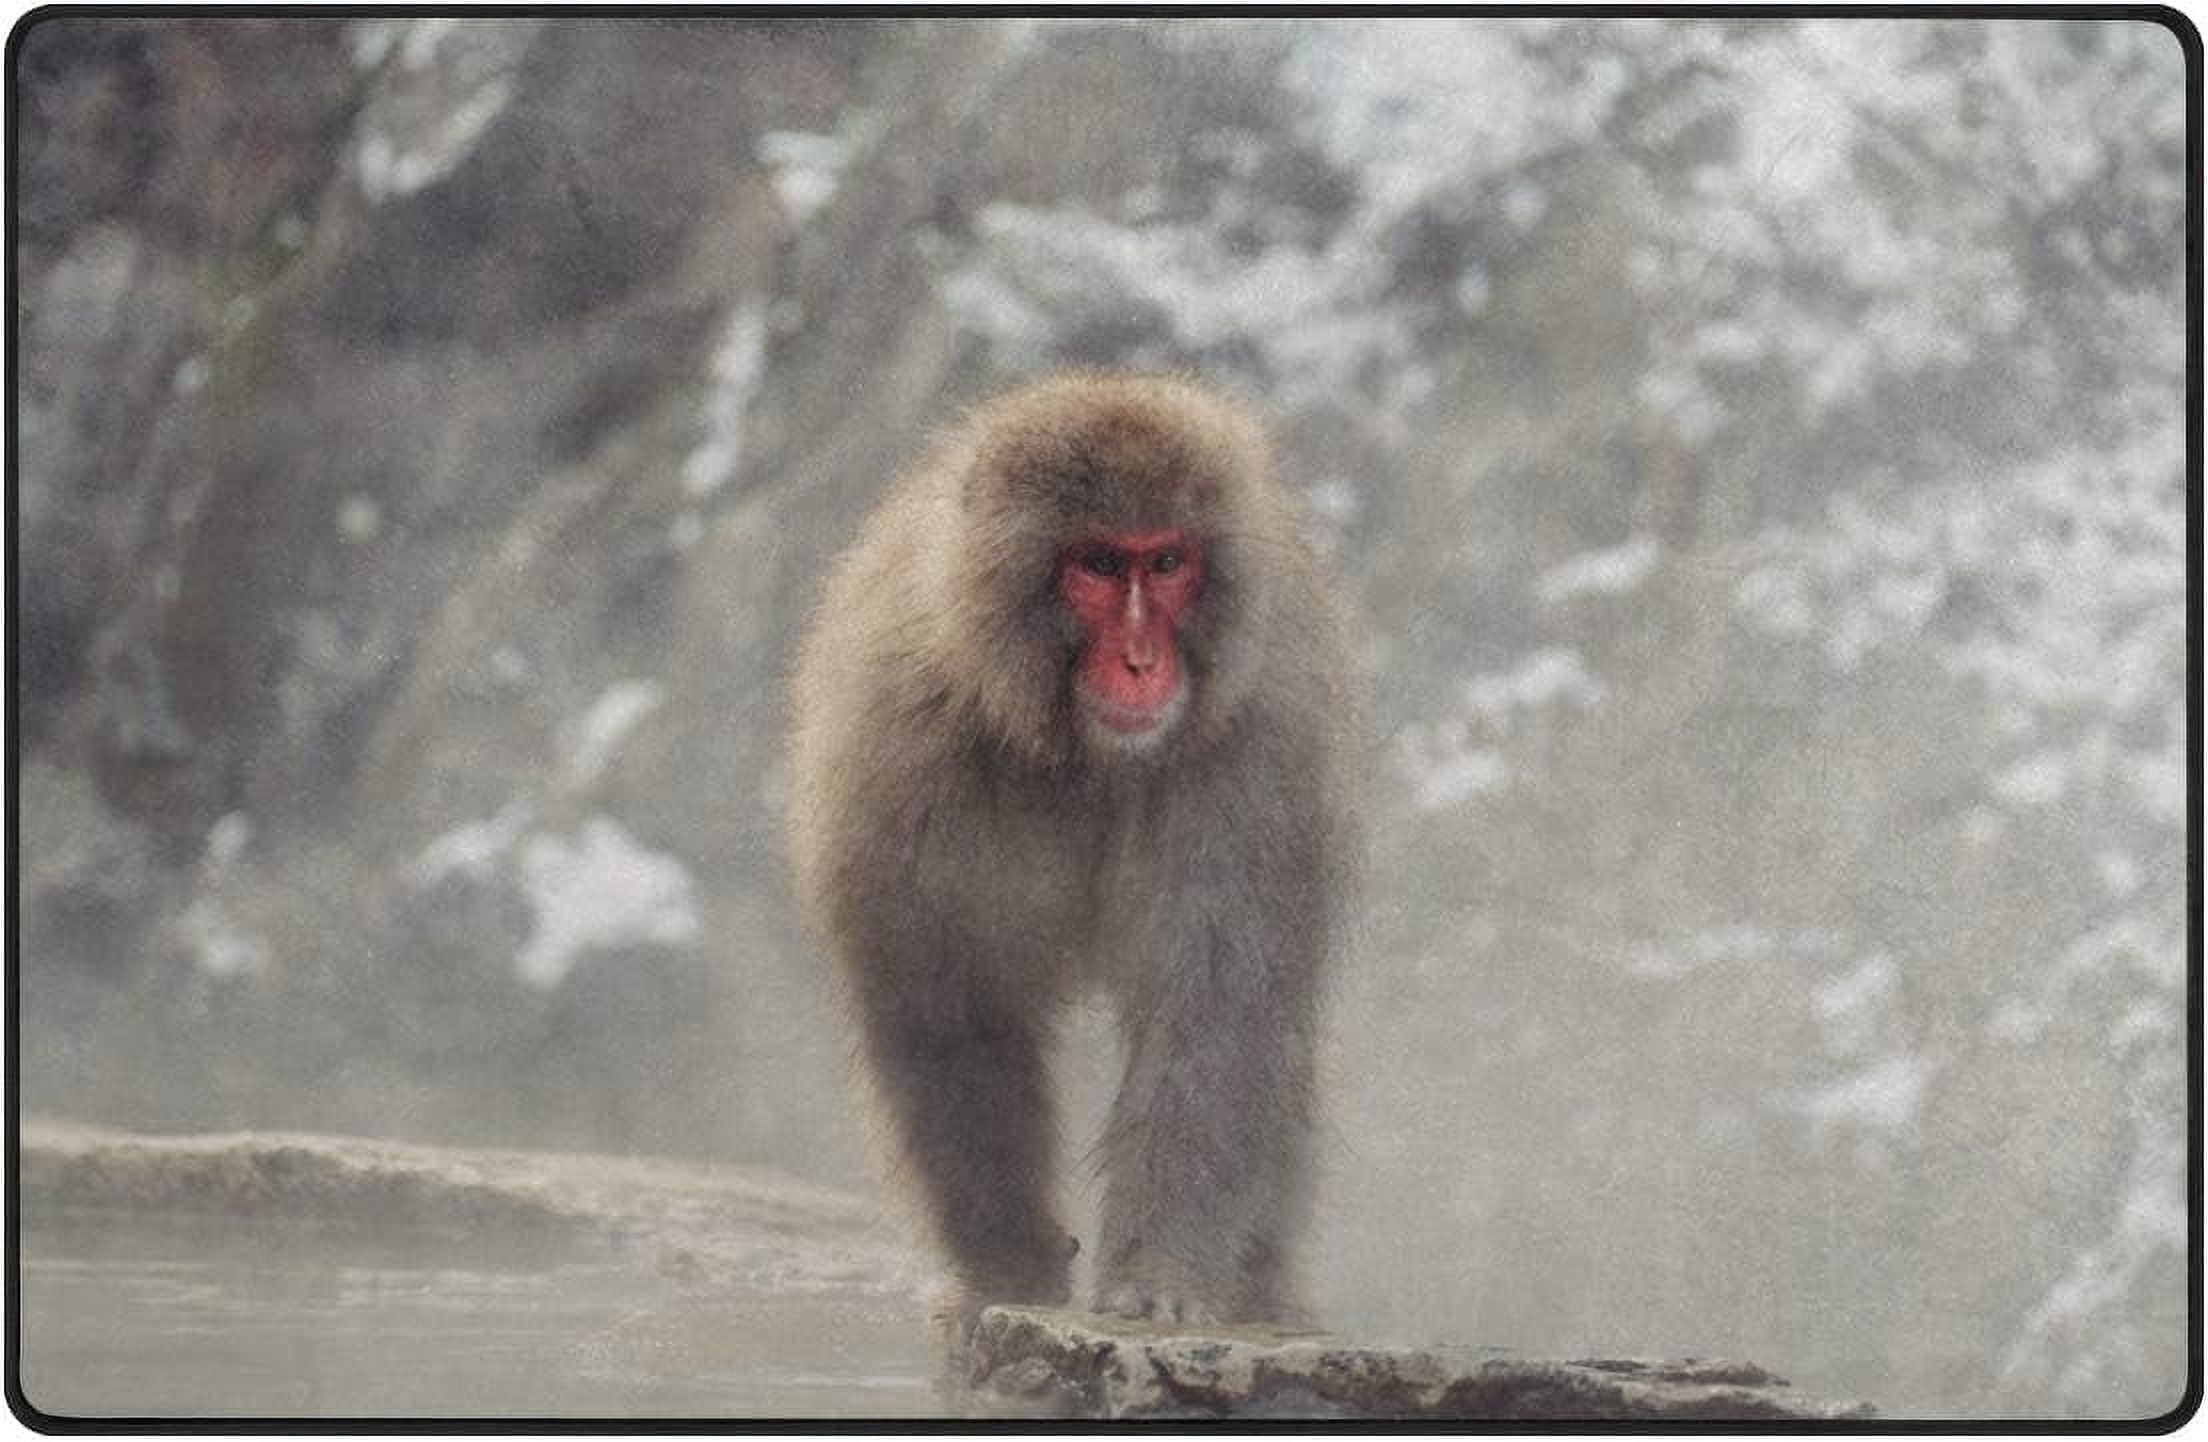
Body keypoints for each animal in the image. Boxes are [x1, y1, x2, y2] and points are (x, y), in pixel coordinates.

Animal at [787, 372, 1355, 1329]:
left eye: (1165, 564)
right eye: (1096, 564)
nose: (1140, 662)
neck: (1087, 755)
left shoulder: (1257, 745)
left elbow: (1214, 1009)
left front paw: (1160, 1276)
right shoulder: (905, 744)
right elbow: (954, 1010)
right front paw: (1011, 1267)